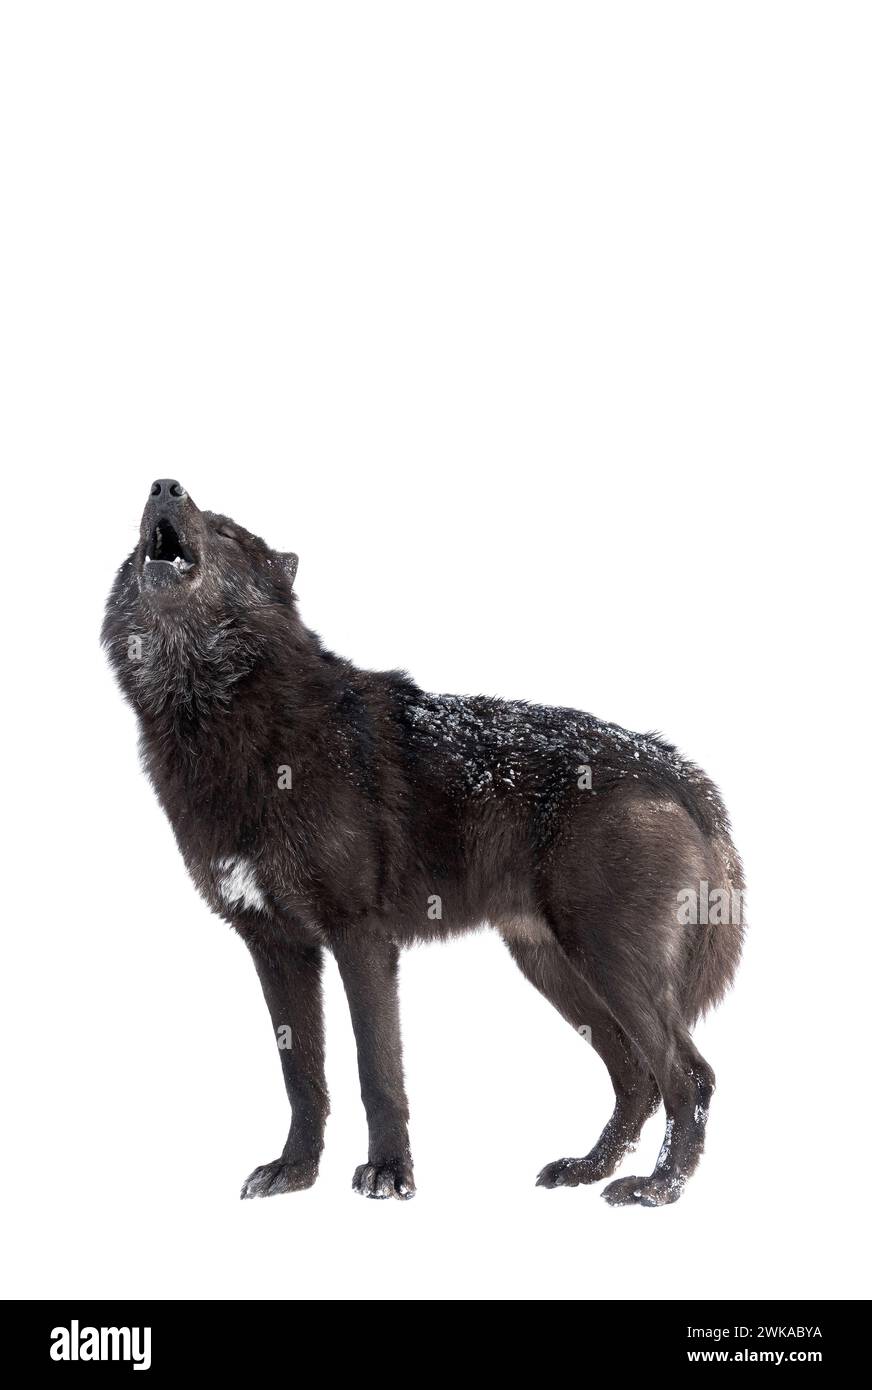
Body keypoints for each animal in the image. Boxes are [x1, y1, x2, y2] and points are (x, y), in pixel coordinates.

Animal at [103, 479, 744, 1206]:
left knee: (688, 1075)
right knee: (636, 1076)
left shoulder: (360, 938)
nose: (165, 485)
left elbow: (376, 1071)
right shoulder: (277, 946)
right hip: (555, 970)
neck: (226, 716)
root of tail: (677, 769)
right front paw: (294, 1173)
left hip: (609, 963)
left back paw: (656, 1187)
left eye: (226, 531)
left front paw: (388, 1174)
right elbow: (302, 1078)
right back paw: (586, 1169)